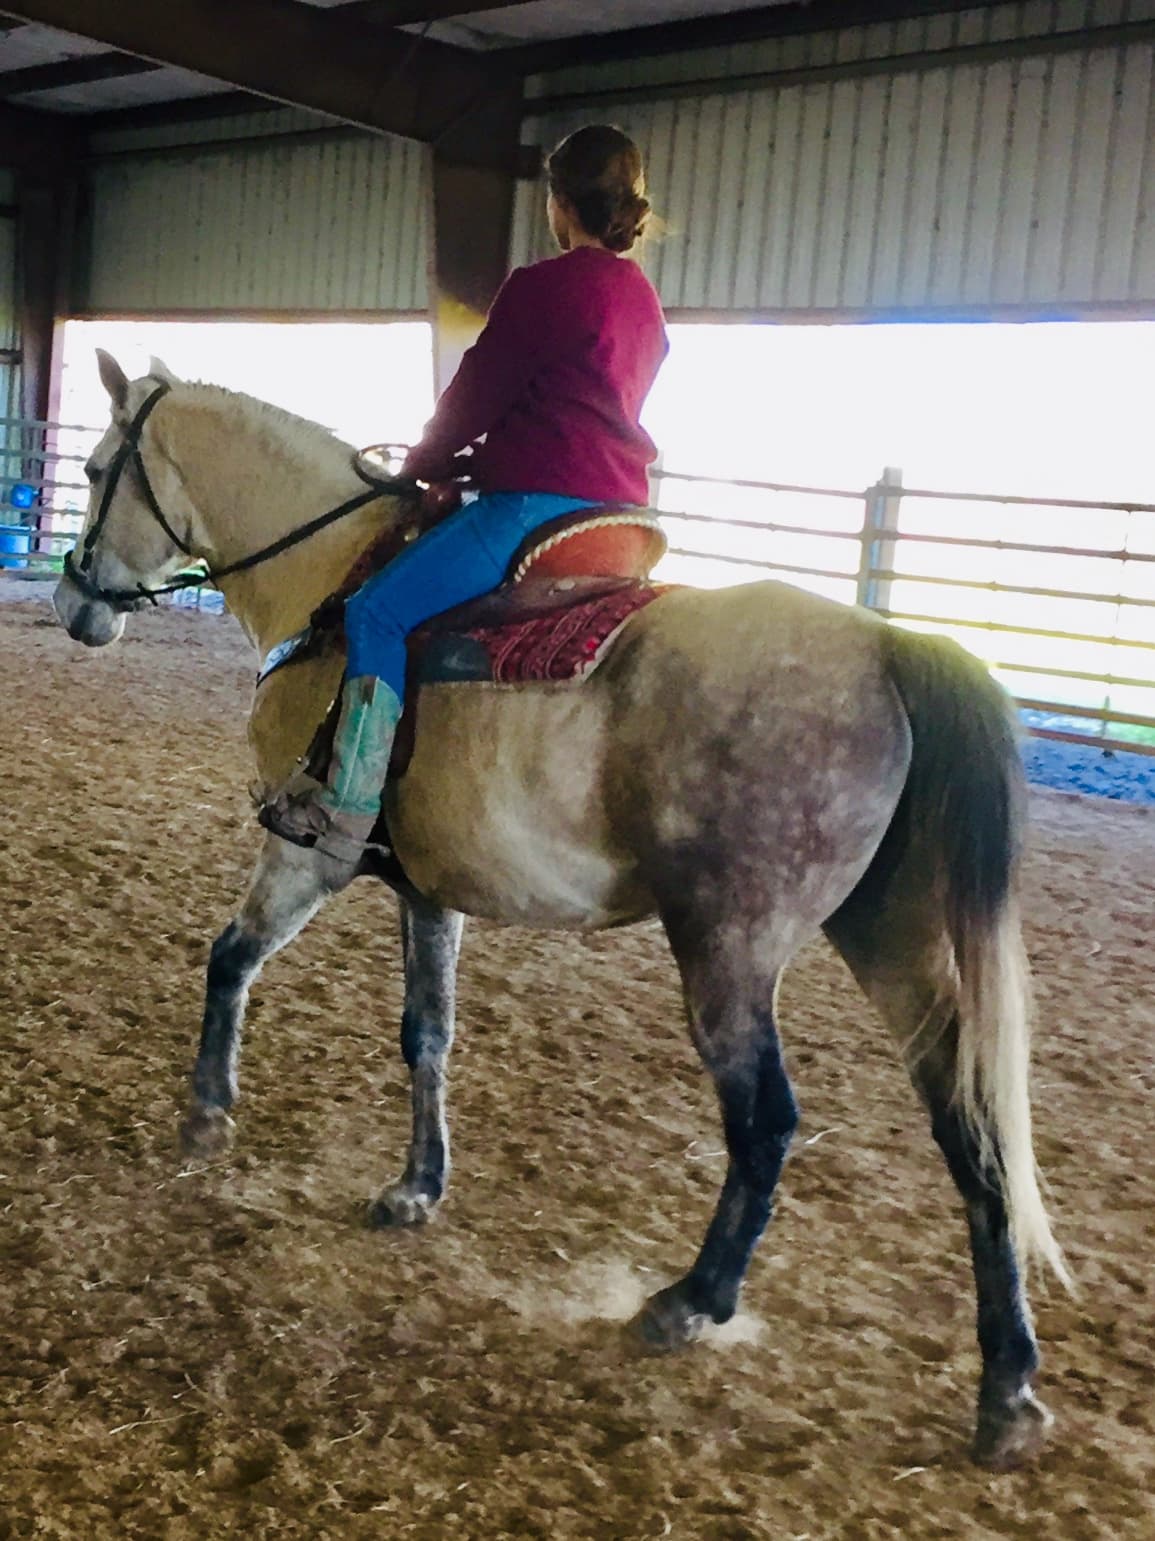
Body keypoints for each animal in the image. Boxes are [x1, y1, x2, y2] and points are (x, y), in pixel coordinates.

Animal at [53, 352, 1068, 1469]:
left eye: (97, 468)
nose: (75, 598)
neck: (333, 577)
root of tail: (887, 646)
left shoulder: (304, 849)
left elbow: (229, 956)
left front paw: (206, 1112)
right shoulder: (429, 890)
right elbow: (428, 1034)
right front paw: (416, 1186)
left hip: (729, 947)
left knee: (765, 1121)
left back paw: (689, 1301)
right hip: (895, 942)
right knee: (972, 1128)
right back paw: (1007, 1389)